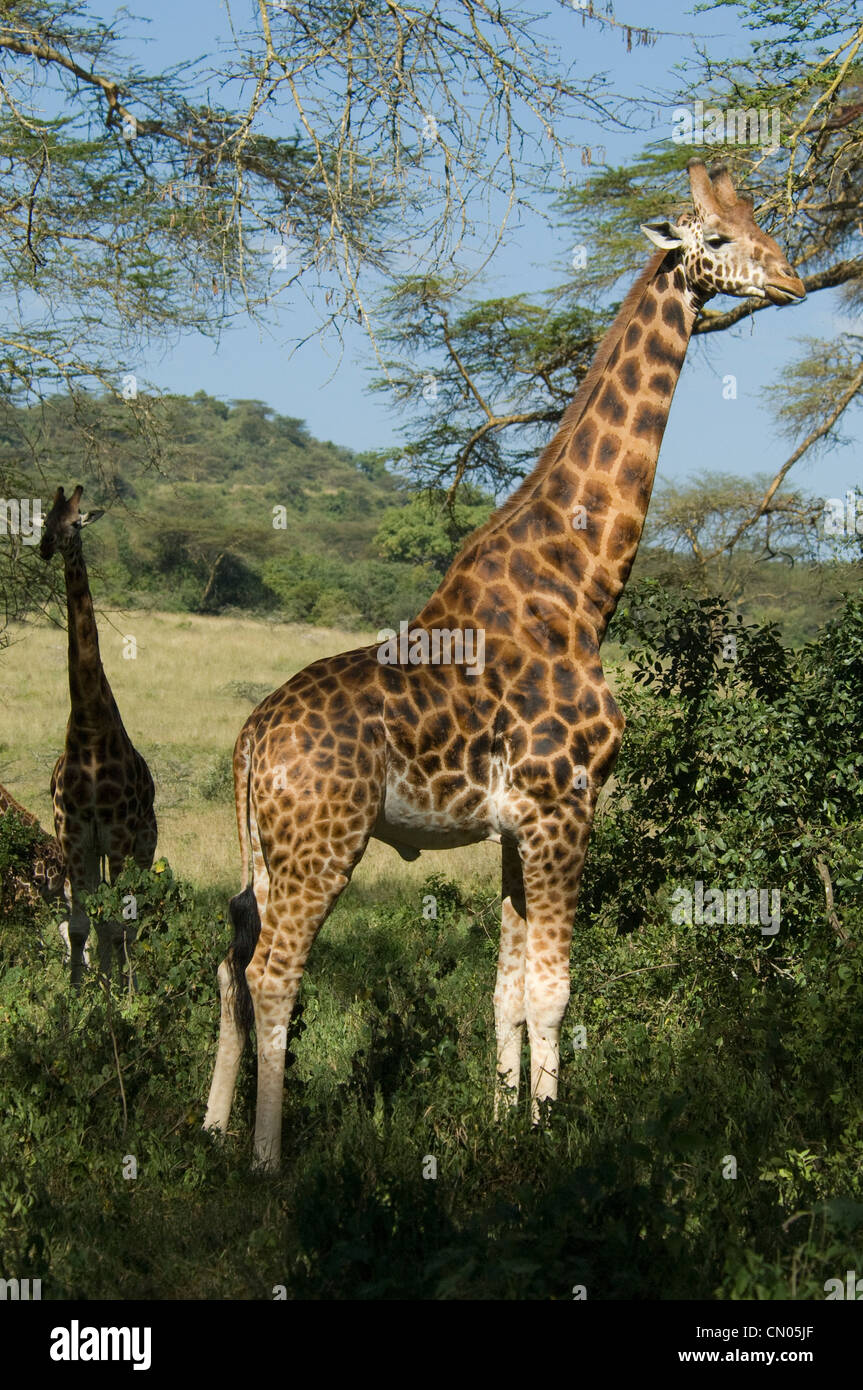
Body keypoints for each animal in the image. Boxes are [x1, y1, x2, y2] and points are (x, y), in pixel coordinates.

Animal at [204, 160, 805, 1169]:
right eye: (719, 239)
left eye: (763, 223)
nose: (794, 279)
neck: (579, 587)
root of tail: (252, 738)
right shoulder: (566, 804)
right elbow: (554, 989)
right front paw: (554, 1137)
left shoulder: (516, 826)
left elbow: (506, 990)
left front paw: (501, 1124)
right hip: (324, 842)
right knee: (276, 973)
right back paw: (264, 1158)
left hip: (264, 851)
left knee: (229, 951)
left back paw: (209, 1126)